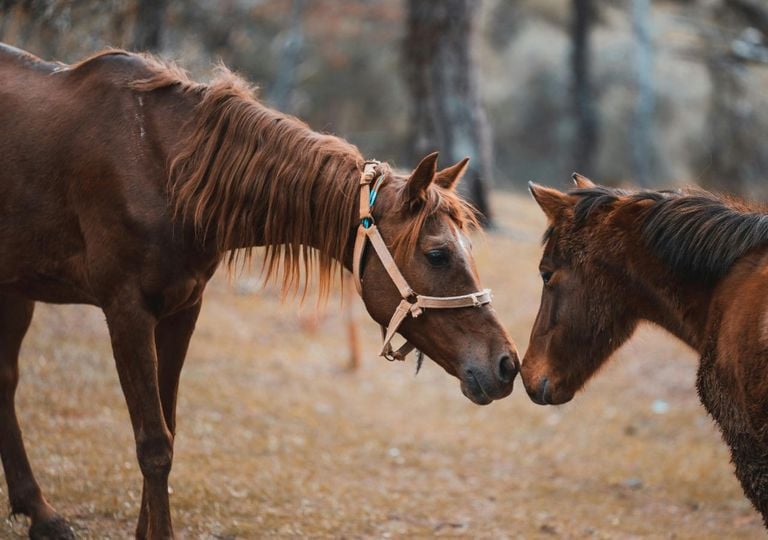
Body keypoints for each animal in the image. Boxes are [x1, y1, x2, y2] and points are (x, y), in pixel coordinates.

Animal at [0, 43, 519, 539]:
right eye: (438, 254)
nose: (506, 364)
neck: (163, 169)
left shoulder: (182, 309)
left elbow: (168, 427)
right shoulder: (126, 311)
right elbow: (153, 443)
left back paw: (40, 514)